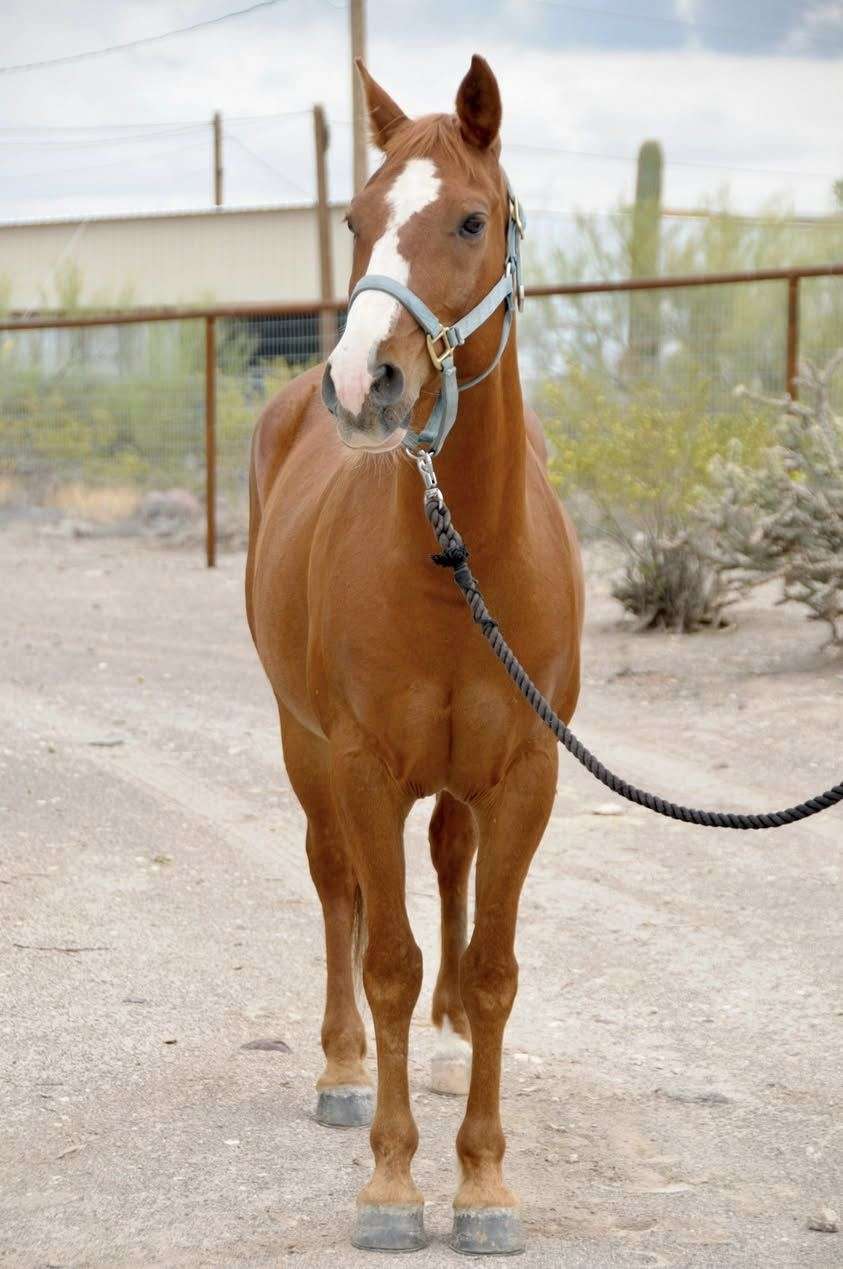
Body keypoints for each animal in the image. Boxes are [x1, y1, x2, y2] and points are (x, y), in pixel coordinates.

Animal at [245, 54, 584, 1255]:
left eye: (471, 220)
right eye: (355, 218)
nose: (362, 384)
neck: (456, 549)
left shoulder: (527, 774)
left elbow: (490, 972)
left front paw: (482, 1183)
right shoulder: (360, 768)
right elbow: (387, 958)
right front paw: (393, 1184)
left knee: (450, 865)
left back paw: (441, 1054)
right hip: (303, 750)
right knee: (337, 889)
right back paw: (345, 1071)